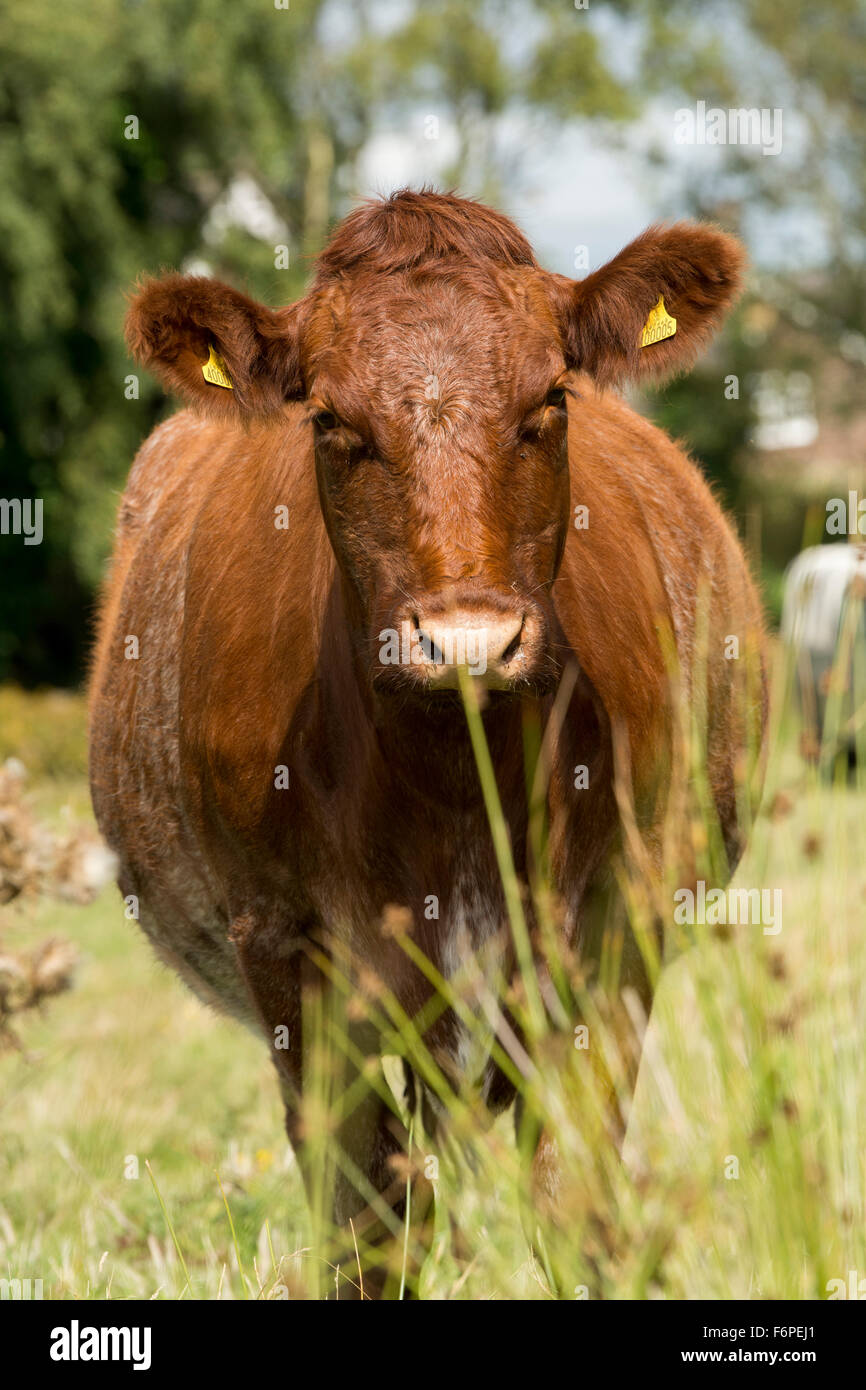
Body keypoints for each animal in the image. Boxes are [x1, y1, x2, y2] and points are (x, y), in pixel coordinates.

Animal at [89, 189, 767, 1298]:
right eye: (329, 420)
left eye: (551, 399)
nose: (466, 639)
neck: (455, 781)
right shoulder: (288, 950)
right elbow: (369, 1232)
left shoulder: (614, 931)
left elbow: (573, 1205)